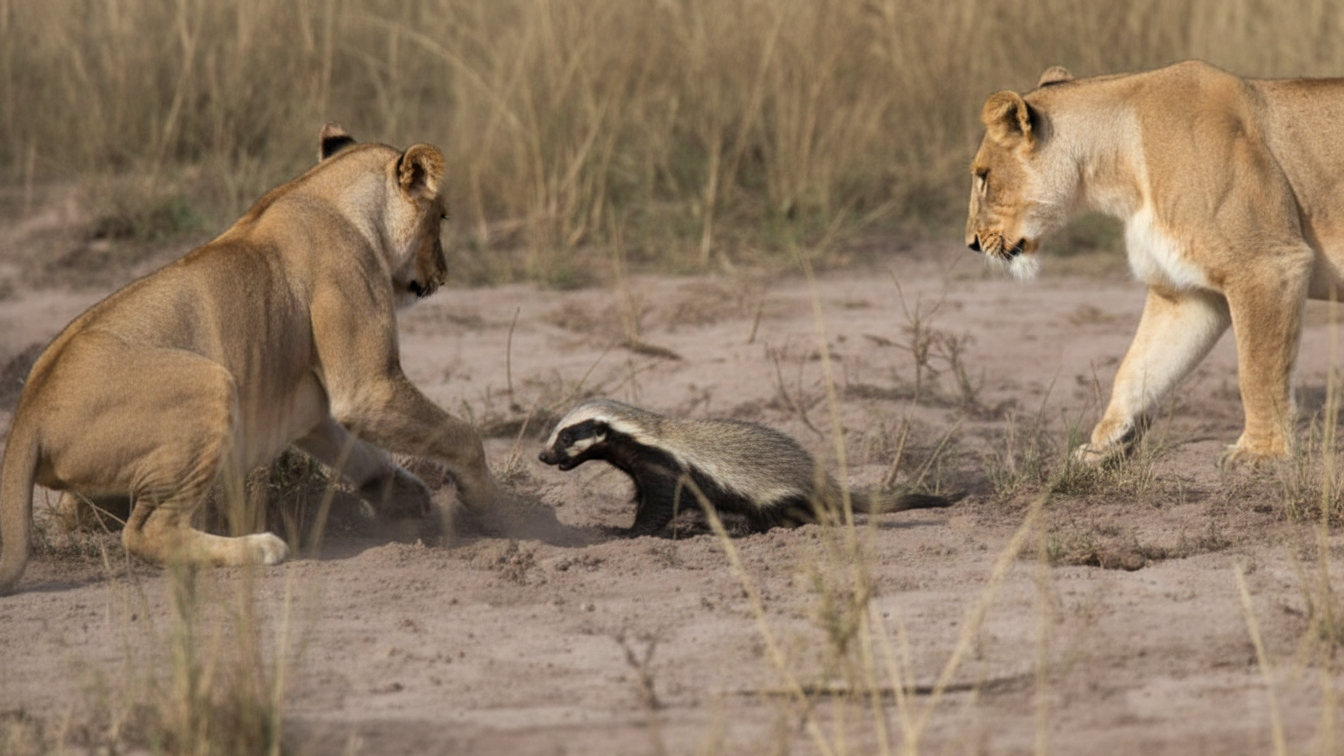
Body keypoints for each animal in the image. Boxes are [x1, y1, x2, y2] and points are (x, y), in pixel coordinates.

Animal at [0, 124, 502, 594]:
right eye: (443, 216)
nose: (443, 274)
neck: (327, 193)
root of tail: (28, 414)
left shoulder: (310, 406)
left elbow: (356, 449)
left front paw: (402, 494)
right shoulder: (367, 386)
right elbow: (459, 434)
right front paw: (484, 501)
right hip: (210, 383)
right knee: (146, 531)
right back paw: (260, 547)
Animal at [966, 60, 1344, 467]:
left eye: (983, 176)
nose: (971, 243)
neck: (1121, 175)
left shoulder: (1268, 263)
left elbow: (1258, 370)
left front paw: (1261, 452)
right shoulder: (1186, 294)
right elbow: (1137, 369)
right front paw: (1103, 444)